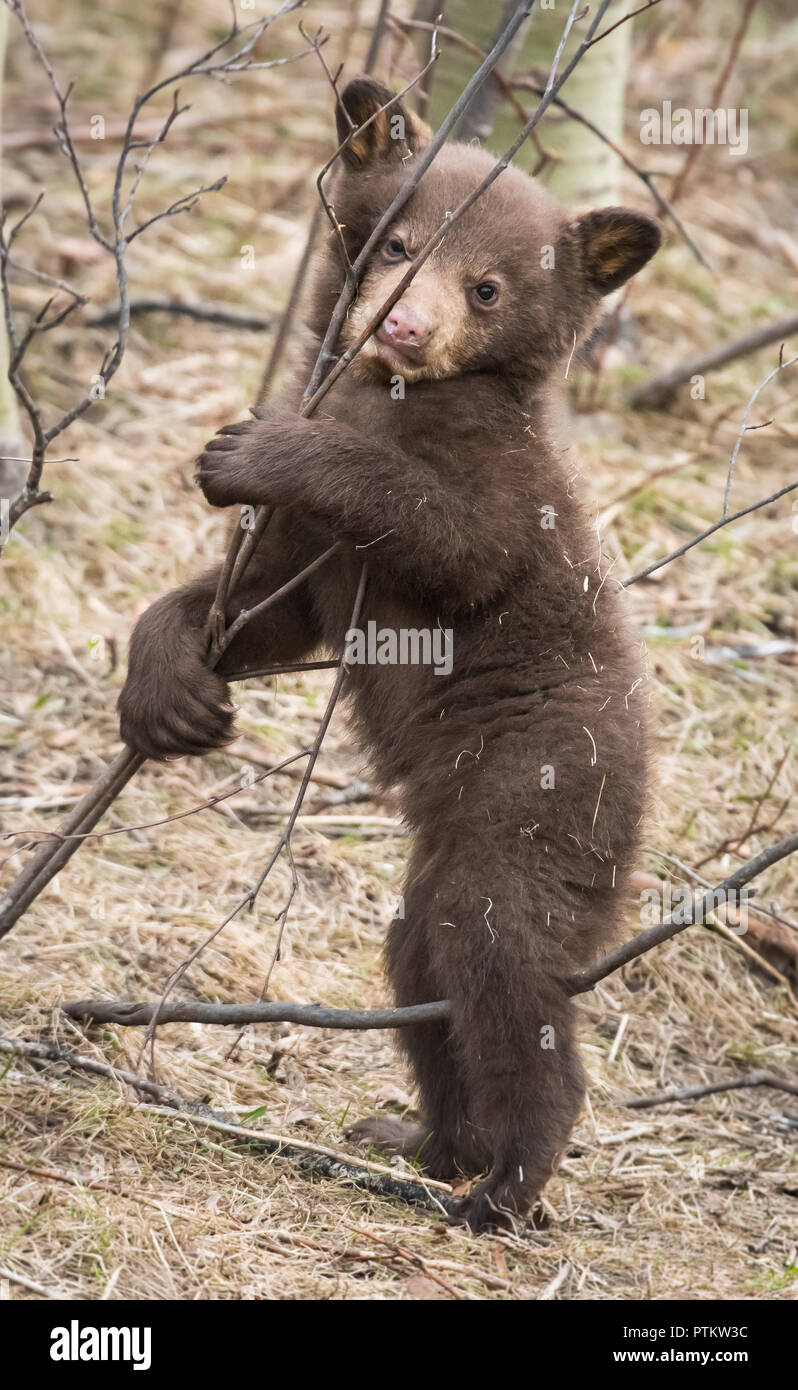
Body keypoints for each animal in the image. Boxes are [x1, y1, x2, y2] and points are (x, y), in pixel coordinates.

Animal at [118, 76, 660, 1233]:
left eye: (489, 288)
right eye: (399, 242)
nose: (406, 324)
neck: (388, 393)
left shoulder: (505, 489)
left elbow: (444, 534)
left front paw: (257, 446)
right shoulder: (299, 553)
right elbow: (259, 612)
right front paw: (170, 693)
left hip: (540, 789)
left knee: (502, 961)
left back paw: (505, 1183)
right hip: (444, 855)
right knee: (421, 966)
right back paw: (425, 1139)